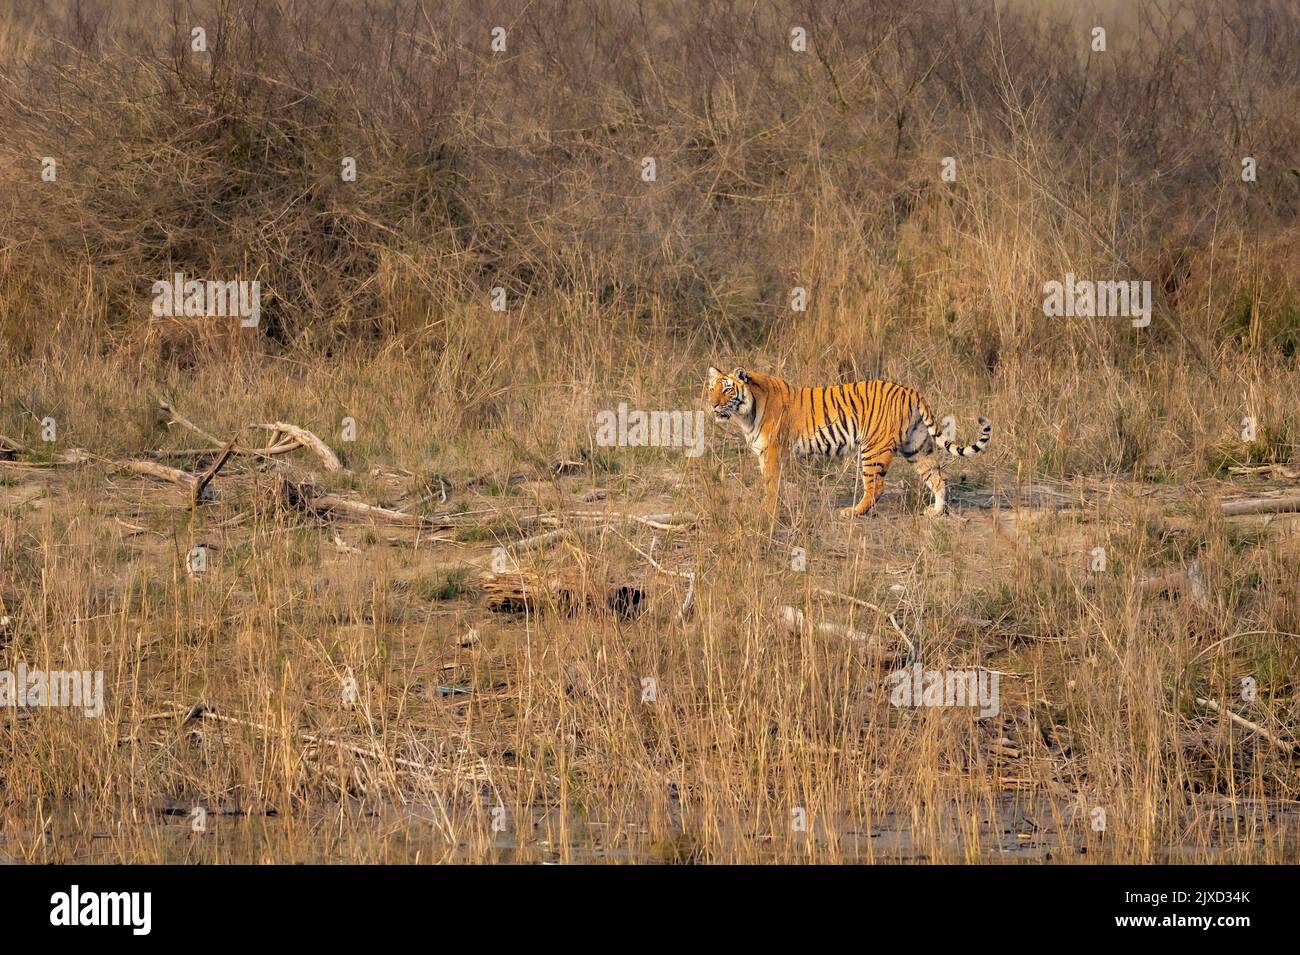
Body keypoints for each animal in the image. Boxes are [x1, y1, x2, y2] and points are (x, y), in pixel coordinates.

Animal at [706, 366, 991, 518]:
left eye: (728, 389)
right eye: (712, 388)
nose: (712, 405)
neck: (746, 413)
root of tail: (910, 390)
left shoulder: (772, 452)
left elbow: (770, 485)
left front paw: (767, 511)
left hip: (873, 449)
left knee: (875, 487)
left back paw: (853, 512)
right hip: (917, 446)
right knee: (938, 477)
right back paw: (936, 512)